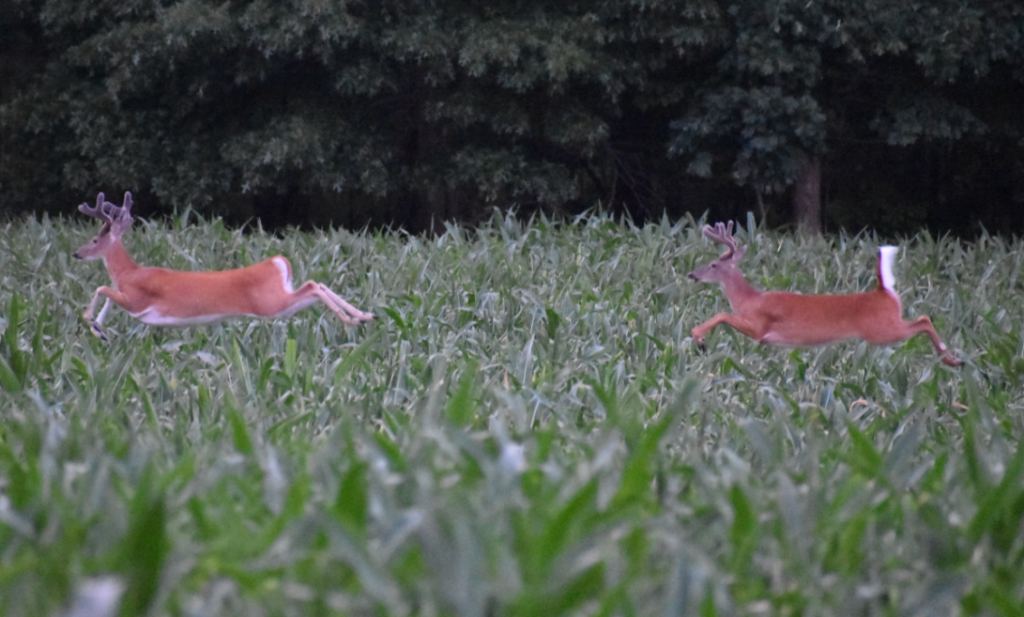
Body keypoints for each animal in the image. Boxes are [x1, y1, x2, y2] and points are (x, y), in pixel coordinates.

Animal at [73, 191, 374, 341]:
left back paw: (353, 319)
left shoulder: (137, 300)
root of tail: (279, 262)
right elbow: (107, 293)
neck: (130, 272)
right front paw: (99, 330)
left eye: (95, 239)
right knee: (317, 283)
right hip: (281, 299)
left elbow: (102, 288)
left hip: (271, 303)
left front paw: (92, 324)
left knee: (313, 285)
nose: (76, 253)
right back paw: (364, 316)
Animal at [687, 222, 962, 366]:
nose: (692, 274)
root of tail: (884, 291)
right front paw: (700, 341)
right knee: (924, 318)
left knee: (923, 321)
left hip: (882, 329)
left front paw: (699, 339)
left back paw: (951, 359)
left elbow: (722, 315)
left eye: (713, 264)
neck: (749, 300)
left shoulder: (758, 328)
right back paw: (952, 360)